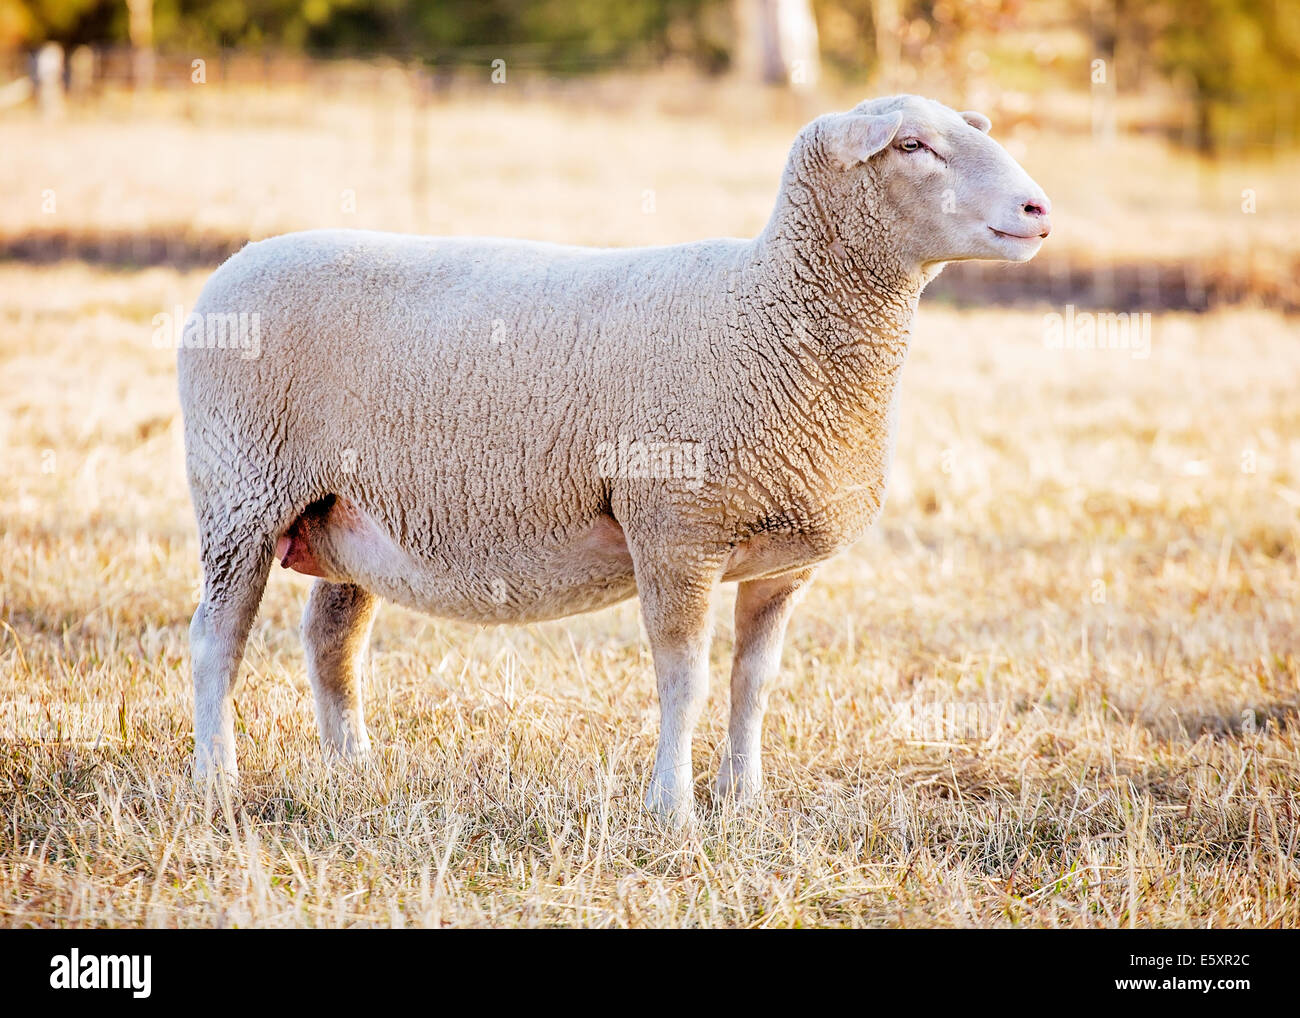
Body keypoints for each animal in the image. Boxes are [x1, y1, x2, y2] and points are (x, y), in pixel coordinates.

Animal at [180, 94, 1051, 824]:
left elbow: (754, 685)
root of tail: (235, 264)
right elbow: (685, 681)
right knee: (216, 642)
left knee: (332, 640)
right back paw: (217, 780)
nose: (1039, 209)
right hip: (240, 493)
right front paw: (673, 810)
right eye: (912, 145)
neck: (769, 306)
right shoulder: (675, 532)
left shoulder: (781, 565)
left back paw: (354, 770)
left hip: (345, 513)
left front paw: (745, 799)